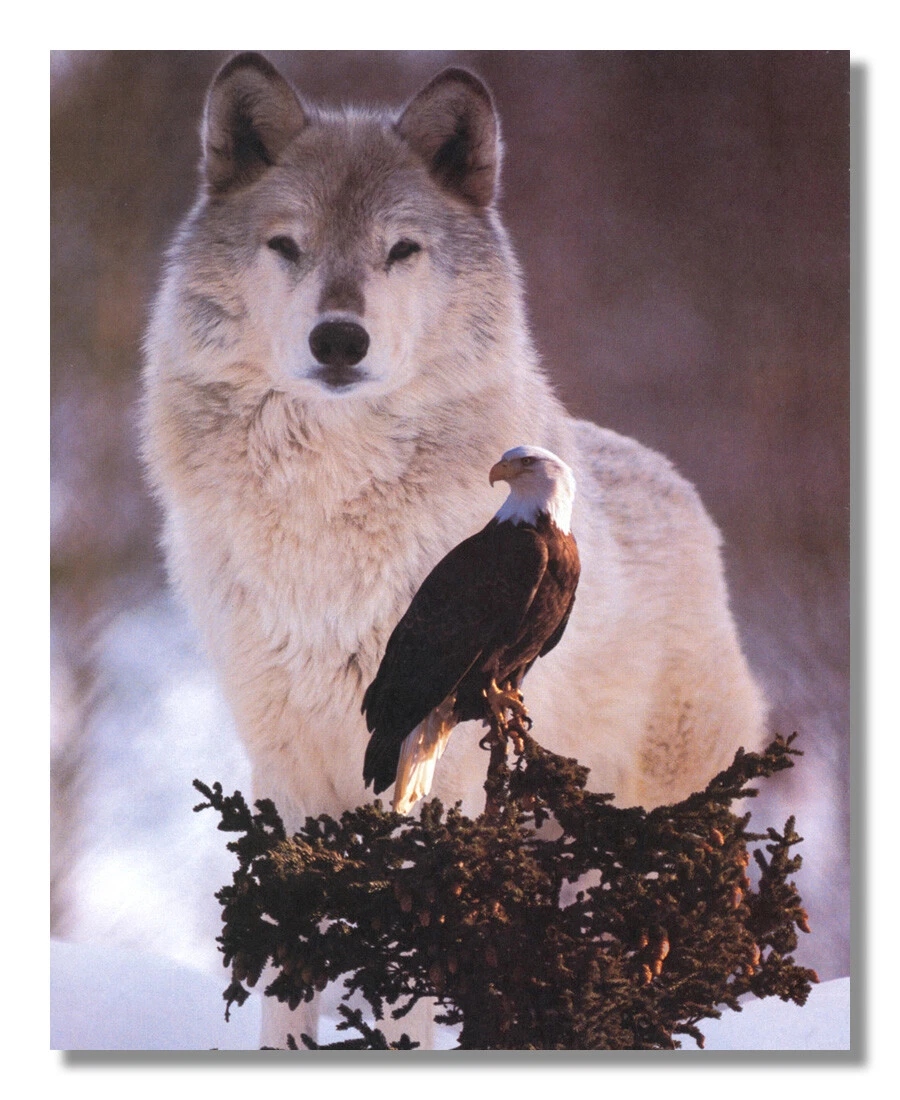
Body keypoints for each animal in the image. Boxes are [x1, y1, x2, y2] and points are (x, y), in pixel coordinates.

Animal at [141, 52, 767, 1047]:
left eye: (401, 250)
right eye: (286, 246)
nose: (339, 338)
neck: (328, 519)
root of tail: (684, 492)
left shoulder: (434, 760)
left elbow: (421, 957)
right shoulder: (286, 763)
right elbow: (289, 963)